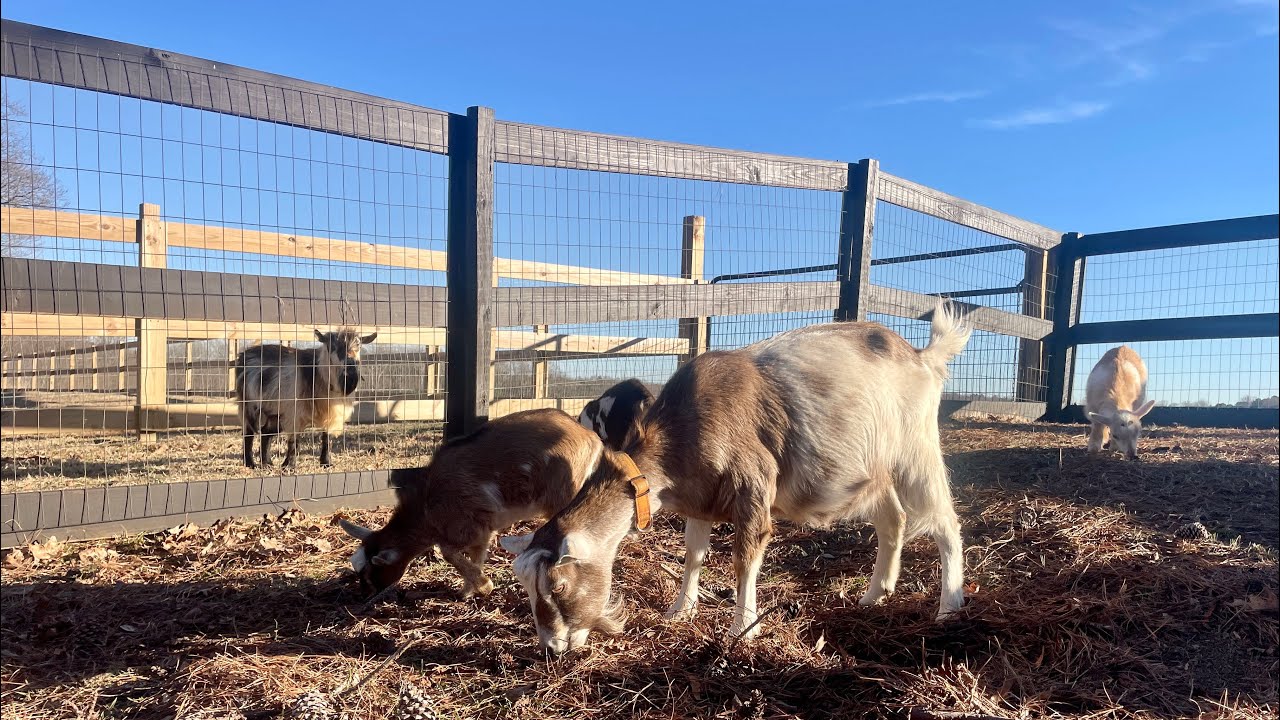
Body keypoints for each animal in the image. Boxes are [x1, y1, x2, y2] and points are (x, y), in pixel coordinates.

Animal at [235, 329, 376, 468]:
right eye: (332, 346)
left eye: (358, 345)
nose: (349, 369)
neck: (317, 374)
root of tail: (243, 356)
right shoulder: (294, 412)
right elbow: (294, 441)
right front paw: (289, 465)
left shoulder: (329, 412)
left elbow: (326, 437)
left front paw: (326, 462)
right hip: (249, 405)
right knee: (248, 433)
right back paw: (250, 463)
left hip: (273, 411)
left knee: (266, 433)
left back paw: (267, 463)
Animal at [340, 408, 604, 599]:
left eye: (370, 571)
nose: (362, 595)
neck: (427, 503)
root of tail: (589, 436)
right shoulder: (482, 531)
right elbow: (476, 555)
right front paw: (468, 591)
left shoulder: (470, 523)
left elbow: (447, 551)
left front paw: (484, 586)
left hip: (565, 493)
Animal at [501, 302, 971, 655]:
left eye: (558, 585)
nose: (551, 649)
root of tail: (922, 356)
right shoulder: (700, 498)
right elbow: (693, 554)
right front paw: (680, 610)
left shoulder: (753, 488)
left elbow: (744, 559)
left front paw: (742, 630)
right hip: (872, 472)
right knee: (893, 519)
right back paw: (875, 595)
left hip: (916, 451)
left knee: (945, 523)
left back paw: (949, 606)